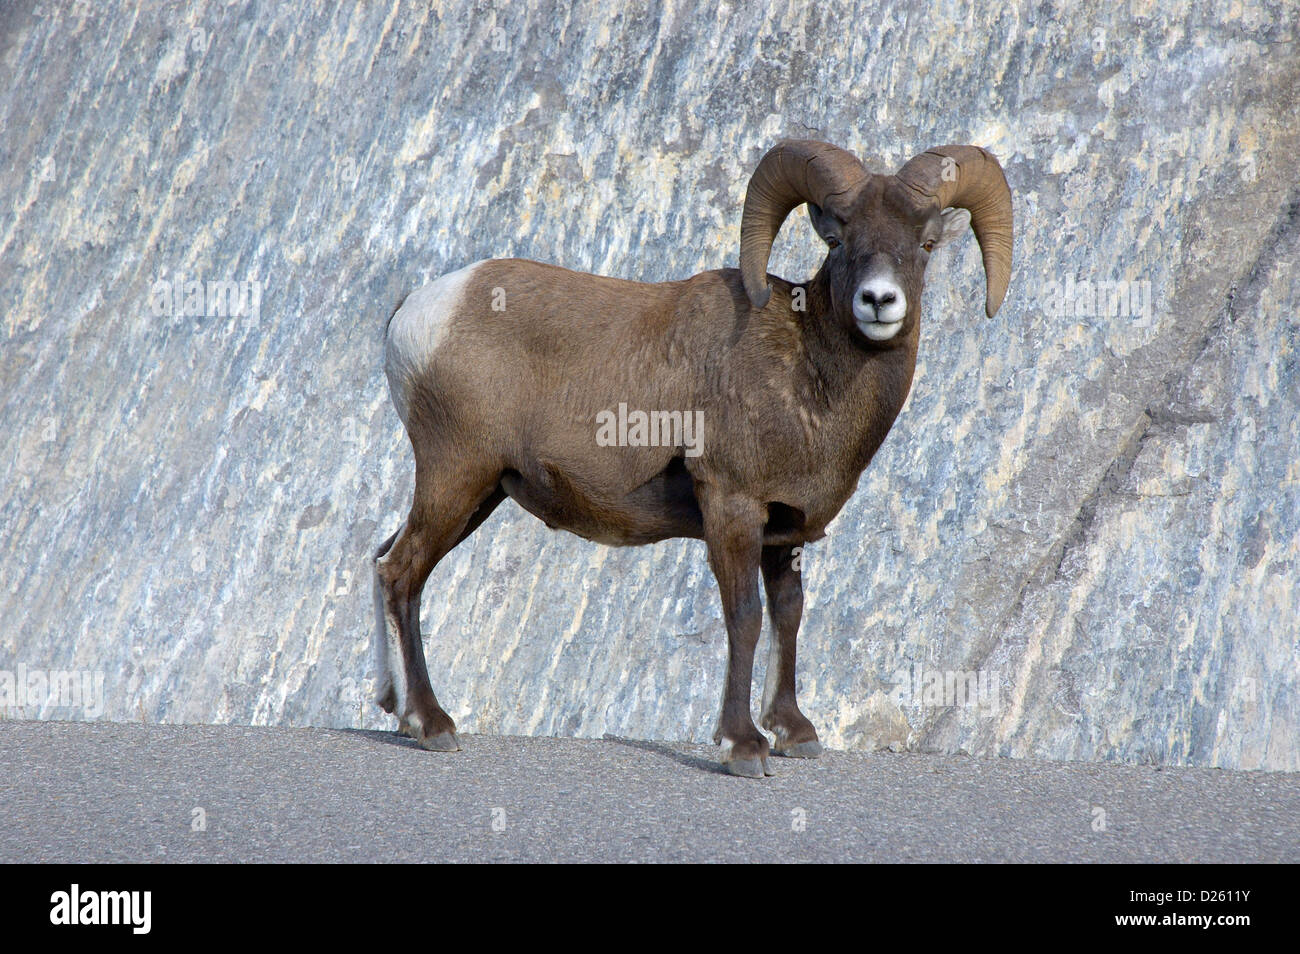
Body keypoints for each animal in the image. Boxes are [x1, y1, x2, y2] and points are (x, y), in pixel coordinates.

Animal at [373, 140, 1013, 777]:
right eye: (837, 241)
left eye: (925, 244)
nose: (879, 301)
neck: (807, 375)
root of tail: (415, 312)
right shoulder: (732, 510)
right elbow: (745, 617)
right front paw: (745, 746)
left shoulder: (786, 533)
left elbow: (788, 613)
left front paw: (794, 732)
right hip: (457, 477)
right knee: (402, 573)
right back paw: (432, 724)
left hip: (480, 493)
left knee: (383, 560)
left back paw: (396, 711)